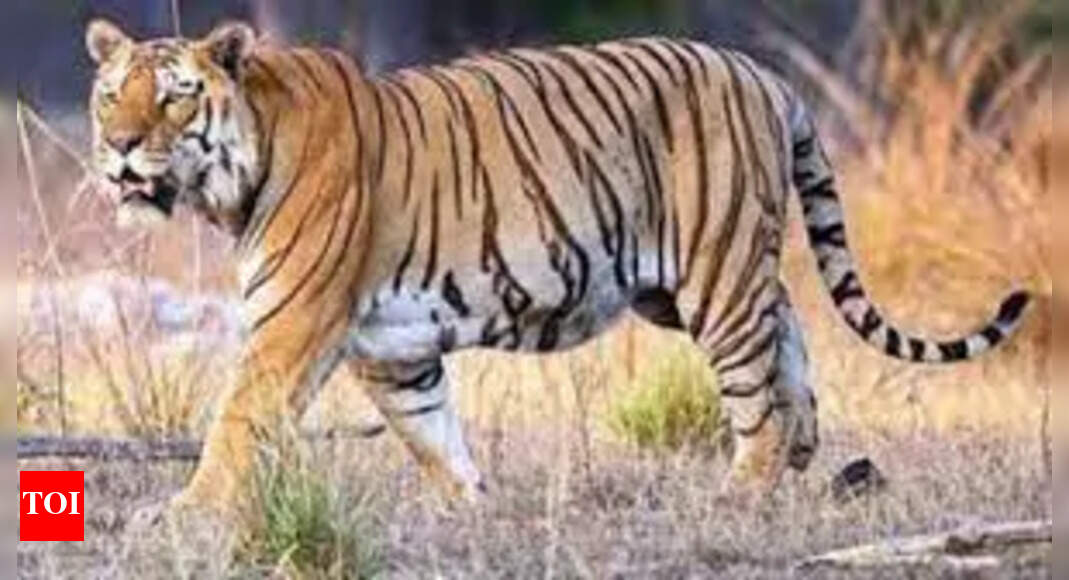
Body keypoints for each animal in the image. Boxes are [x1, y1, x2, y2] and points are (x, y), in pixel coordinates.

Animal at [86, 19, 1031, 516]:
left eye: (172, 97)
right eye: (109, 94)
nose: (120, 146)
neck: (233, 178)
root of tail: (763, 74)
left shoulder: (293, 326)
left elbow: (236, 422)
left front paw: (184, 515)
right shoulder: (390, 348)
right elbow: (429, 430)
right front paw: (471, 506)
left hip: (713, 269)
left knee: (756, 388)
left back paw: (741, 492)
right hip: (685, 285)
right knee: (787, 334)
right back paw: (802, 454)